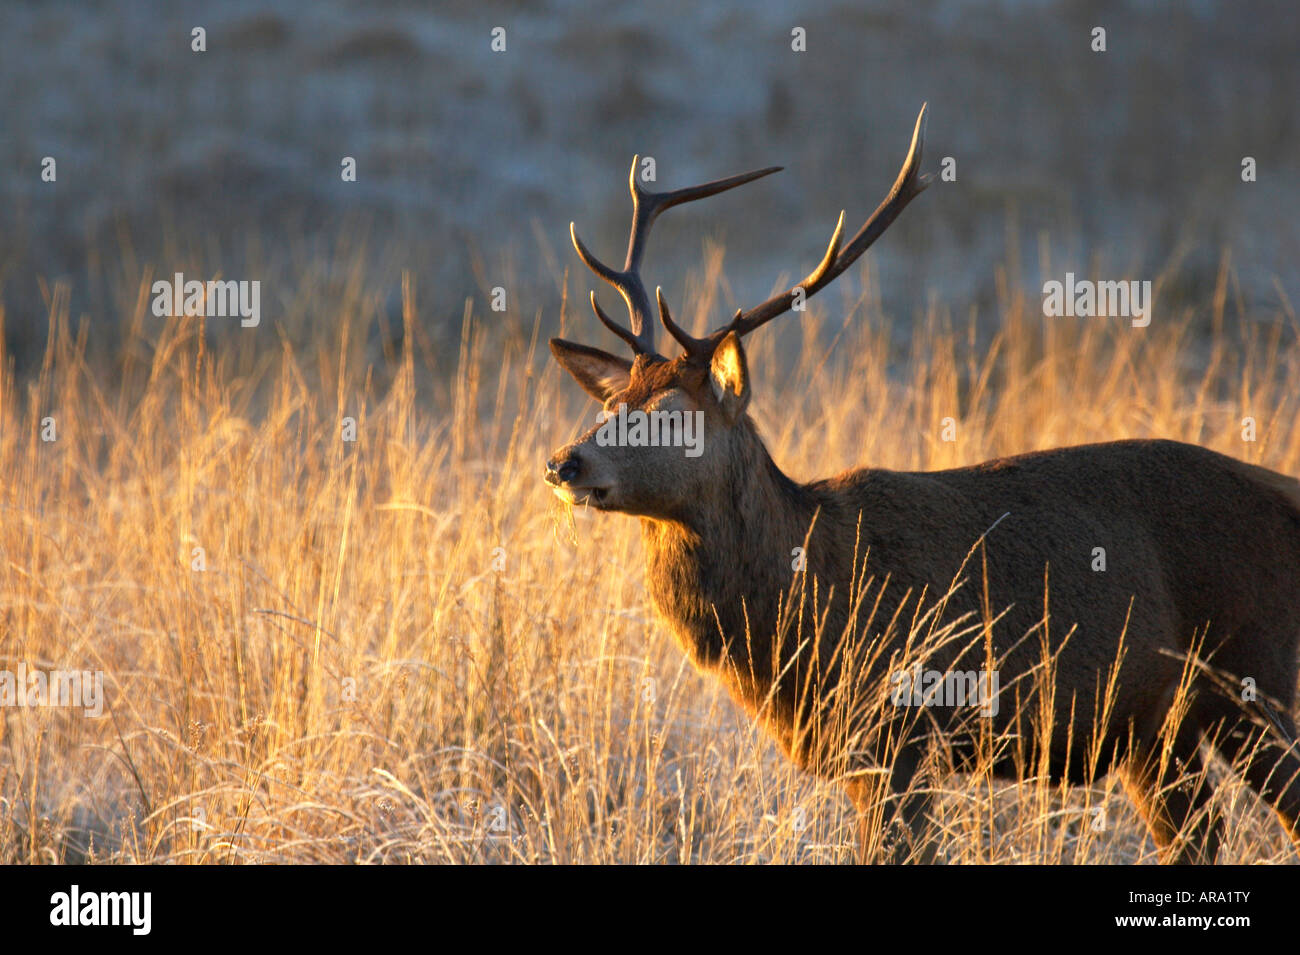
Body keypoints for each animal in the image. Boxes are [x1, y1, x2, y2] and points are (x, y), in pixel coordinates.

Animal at [544, 104, 1300, 864]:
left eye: (673, 414)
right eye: (613, 404)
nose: (564, 463)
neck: (807, 606)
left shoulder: (904, 727)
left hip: (1263, 674)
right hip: (1161, 731)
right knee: (1201, 833)